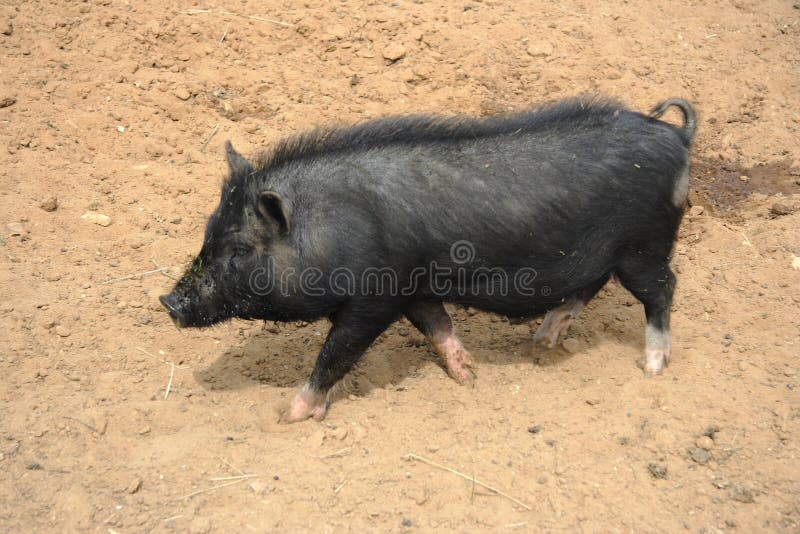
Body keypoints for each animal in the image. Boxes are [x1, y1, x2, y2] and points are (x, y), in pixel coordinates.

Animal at [160, 96, 696, 422]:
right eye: (207, 233)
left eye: (240, 249)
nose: (168, 301)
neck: (327, 227)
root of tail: (678, 138)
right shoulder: (413, 288)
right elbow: (438, 326)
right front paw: (469, 375)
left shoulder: (374, 298)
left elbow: (336, 353)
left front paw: (287, 415)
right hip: (607, 253)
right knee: (588, 286)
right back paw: (543, 340)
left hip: (644, 246)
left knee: (663, 290)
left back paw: (652, 366)